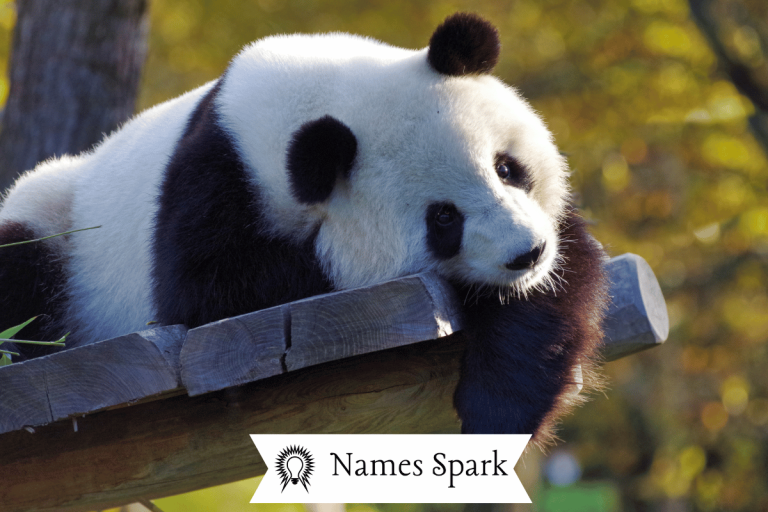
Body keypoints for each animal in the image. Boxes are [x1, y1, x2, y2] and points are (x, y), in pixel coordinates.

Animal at [0, 13, 608, 443]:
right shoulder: (211, 187)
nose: (527, 253)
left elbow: (560, 280)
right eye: (443, 218)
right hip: (58, 222)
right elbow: (209, 296)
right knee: (23, 269)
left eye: (507, 167)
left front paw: (499, 408)